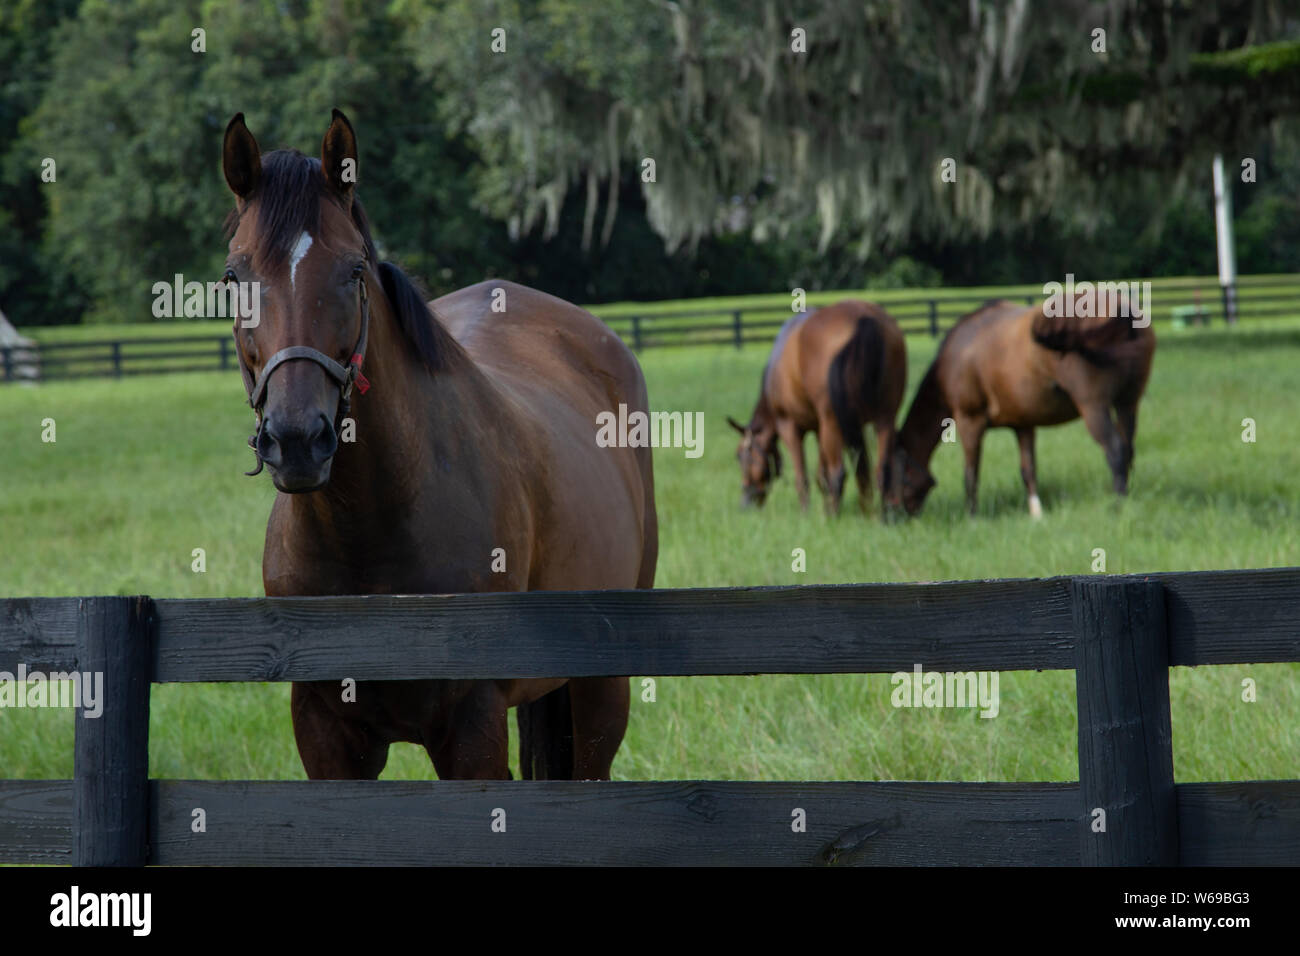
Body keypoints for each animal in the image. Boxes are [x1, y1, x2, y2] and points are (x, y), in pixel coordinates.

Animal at [221, 110, 657, 780]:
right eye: (234, 276)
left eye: (353, 270)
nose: (297, 440)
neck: (371, 530)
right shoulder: (325, 735)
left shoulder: (473, 730)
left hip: (600, 692)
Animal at [726, 300, 907, 516]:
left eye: (740, 456)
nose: (745, 503)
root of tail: (865, 318)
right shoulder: (819, 428)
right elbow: (822, 475)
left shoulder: (790, 426)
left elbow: (803, 478)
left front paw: (806, 514)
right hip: (884, 418)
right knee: (882, 470)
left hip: (833, 422)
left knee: (839, 472)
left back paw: (833, 517)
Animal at [888, 295, 1156, 518]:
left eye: (891, 477)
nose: (889, 518)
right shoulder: (1023, 424)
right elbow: (1028, 470)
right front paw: (1036, 514)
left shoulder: (969, 421)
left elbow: (971, 473)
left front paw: (972, 517)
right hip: (1127, 404)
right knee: (1128, 448)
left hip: (1094, 408)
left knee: (1115, 449)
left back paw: (1118, 506)